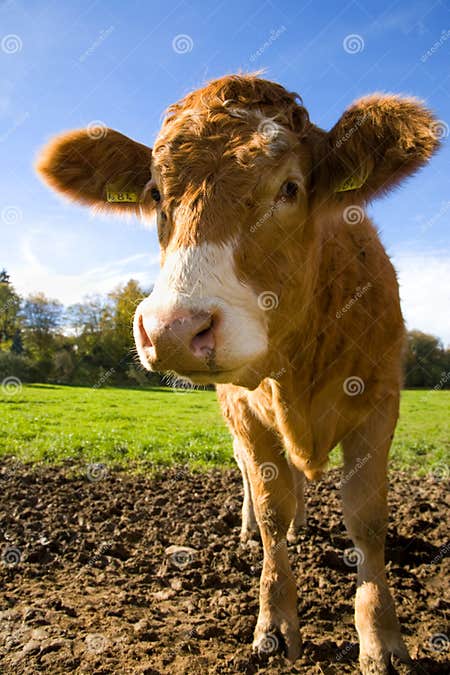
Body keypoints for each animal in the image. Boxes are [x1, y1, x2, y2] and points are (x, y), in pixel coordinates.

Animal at [36, 74, 440, 674]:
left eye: (290, 188)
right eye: (155, 194)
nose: (173, 328)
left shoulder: (380, 401)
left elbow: (366, 520)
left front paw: (382, 640)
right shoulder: (244, 409)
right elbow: (271, 509)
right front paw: (274, 625)